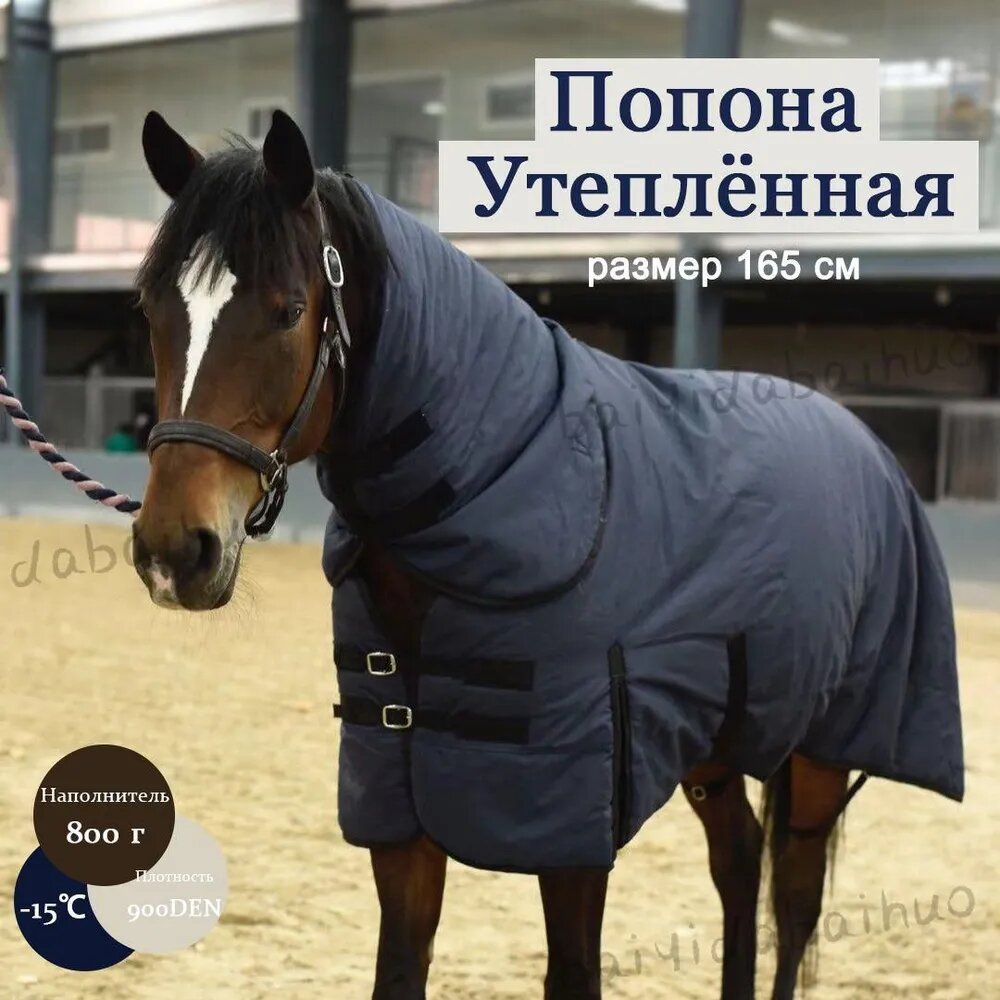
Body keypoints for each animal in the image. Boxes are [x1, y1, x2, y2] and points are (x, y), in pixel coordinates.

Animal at [132, 109, 963, 1000]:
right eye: (150, 308)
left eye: (288, 311)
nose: (175, 549)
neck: (506, 477)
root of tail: (861, 439)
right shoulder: (402, 809)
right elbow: (400, 968)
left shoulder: (570, 824)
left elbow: (575, 971)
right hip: (716, 745)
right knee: (739, 862)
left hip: (822, 745)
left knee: (796, 897)